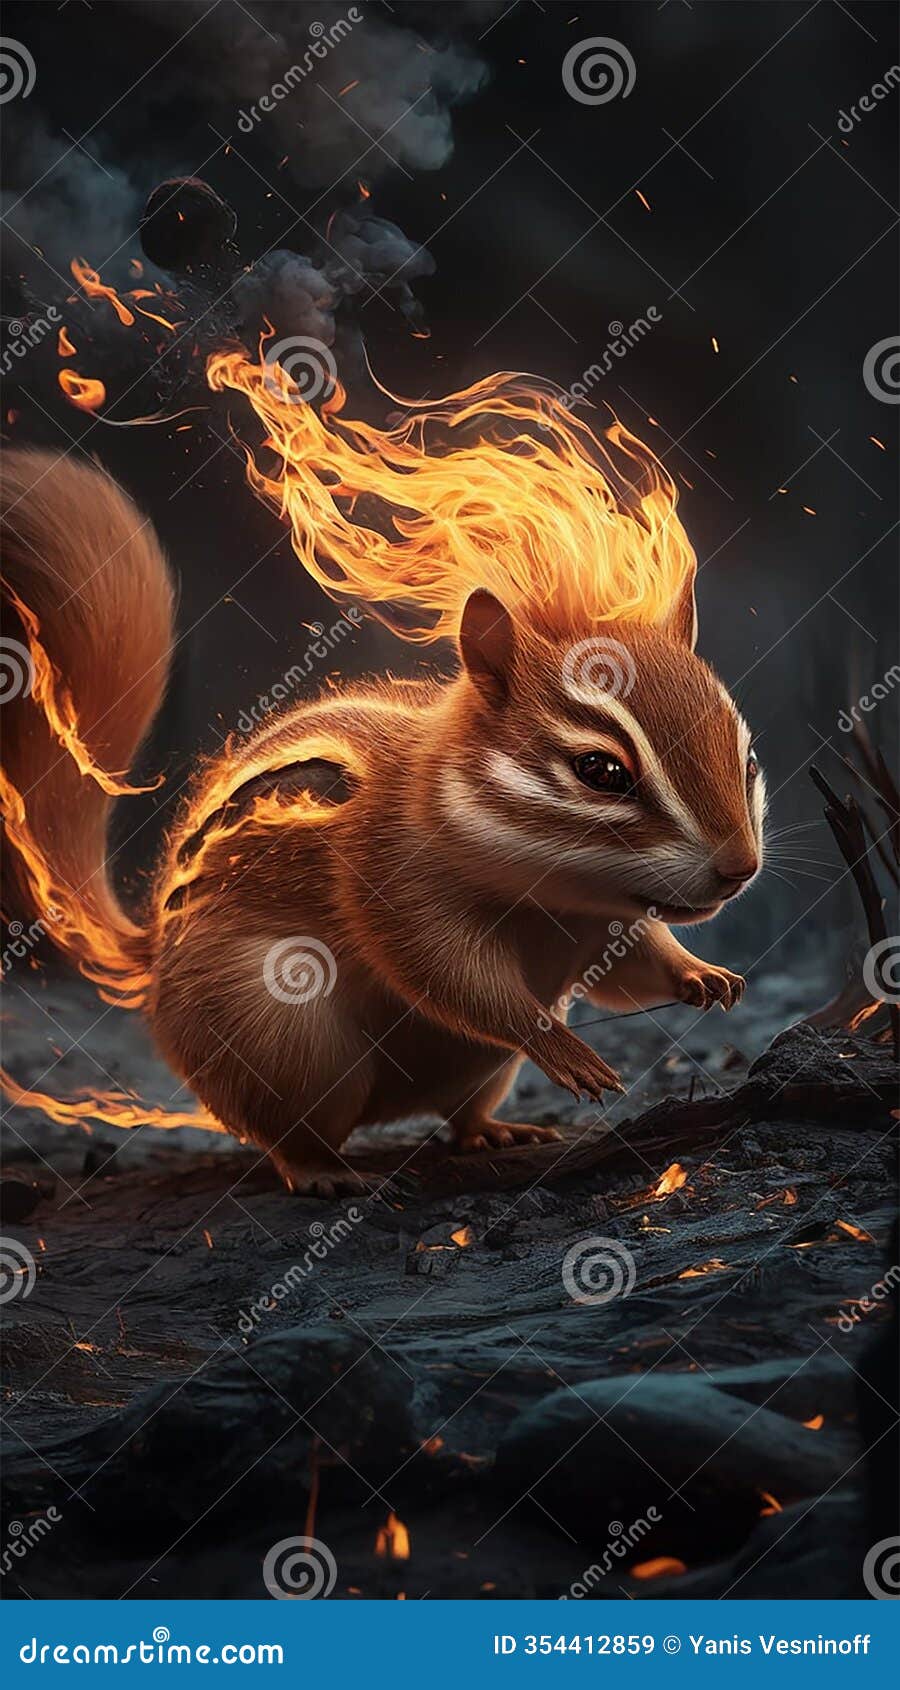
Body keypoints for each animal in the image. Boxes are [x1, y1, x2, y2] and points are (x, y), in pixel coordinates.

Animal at [1, 389, 764, 1197]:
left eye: (745, 755)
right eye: (601, 771)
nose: (740, 868)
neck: (562, 898)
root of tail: (149, 956)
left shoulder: (609, 929)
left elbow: (634, 968)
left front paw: (704, 978)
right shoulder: (391, 877)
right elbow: (454, 980)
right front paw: (563, 1046)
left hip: (477, 1072)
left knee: (460, 1116)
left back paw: (497, 1130)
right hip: (281, 1033)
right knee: (282, 1131)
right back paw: (320, 1170)